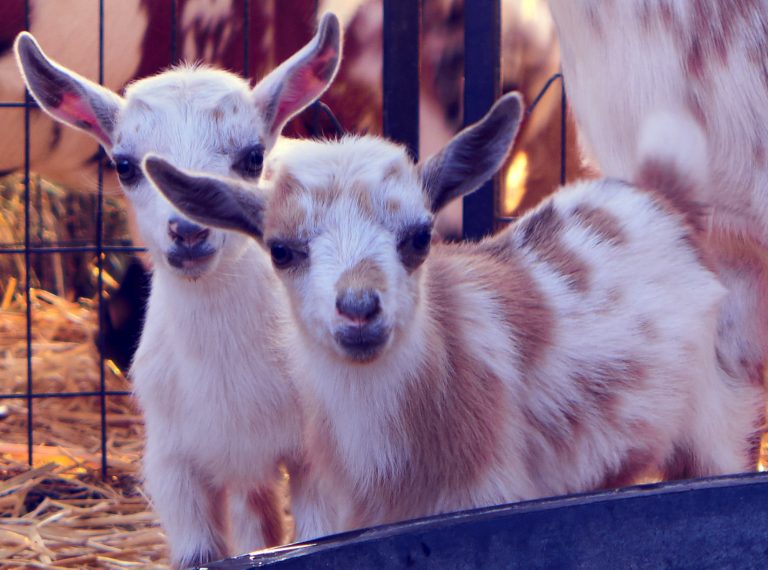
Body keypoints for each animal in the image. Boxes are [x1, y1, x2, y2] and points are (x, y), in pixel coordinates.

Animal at [144, 92, 763, 539]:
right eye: (280, 250)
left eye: (420, 237)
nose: (359, 309)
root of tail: (663, 198)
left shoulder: (489, 496)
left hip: (714, 418)